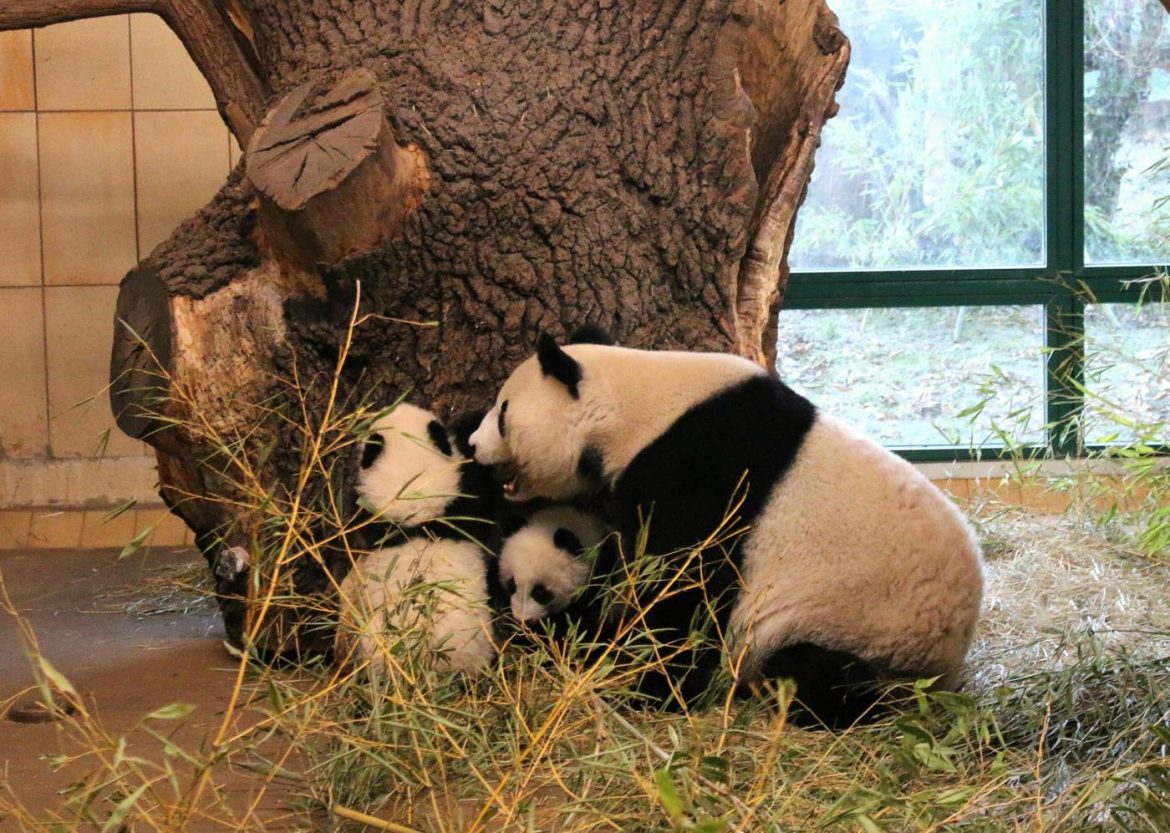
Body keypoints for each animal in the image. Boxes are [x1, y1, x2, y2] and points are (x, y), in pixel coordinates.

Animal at [468, 329, 984, 726]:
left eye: (504, 413)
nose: (473, 444)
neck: (634, 404)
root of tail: (947, 672)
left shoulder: (703, 469)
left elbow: (682, 585)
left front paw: (648, 685)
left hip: (858, 629)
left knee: (818, 673)